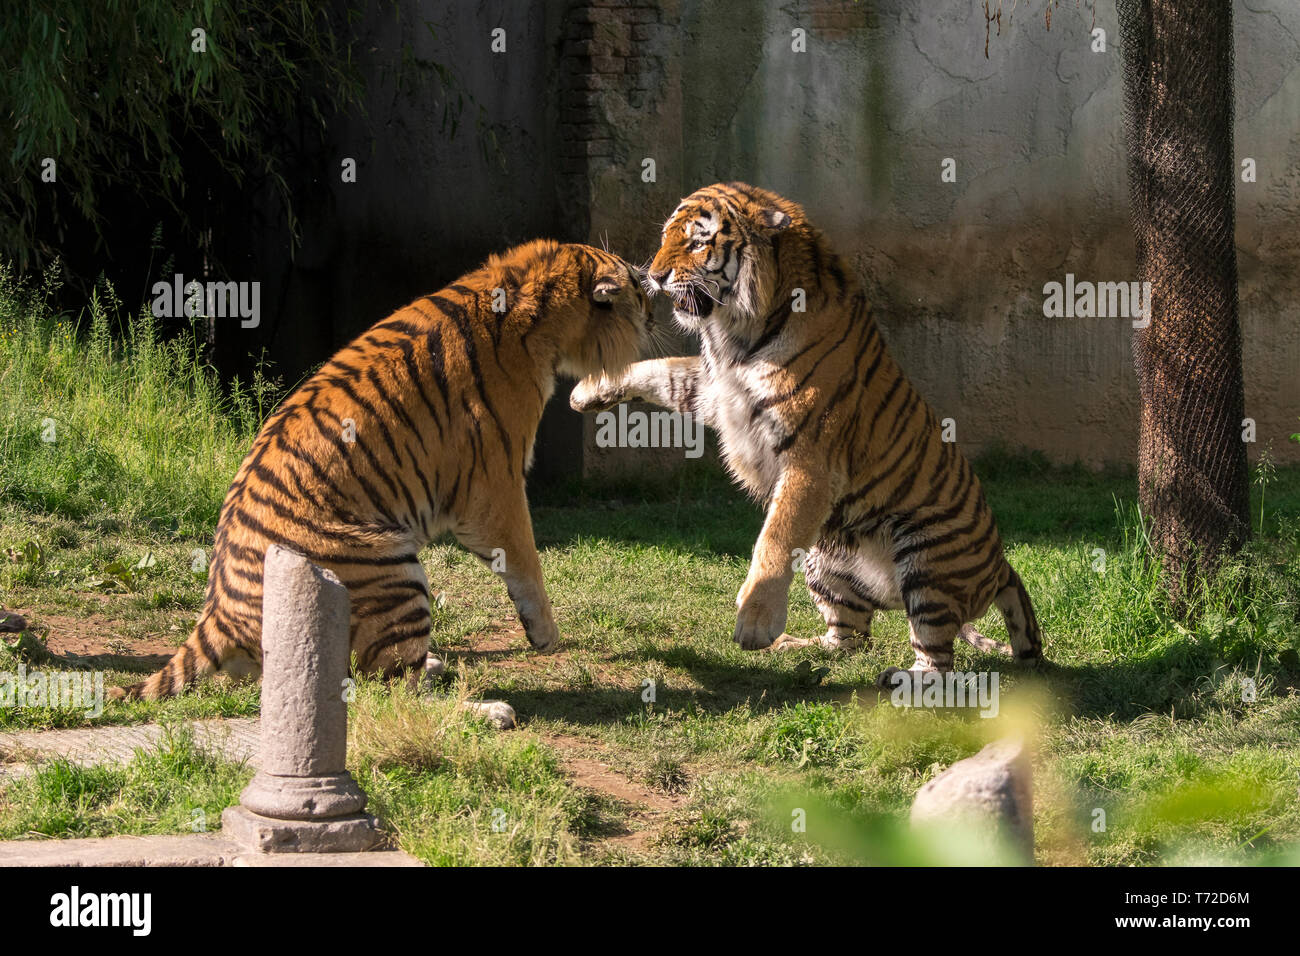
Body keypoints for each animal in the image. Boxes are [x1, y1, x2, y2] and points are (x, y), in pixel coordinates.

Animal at [112, 239, 651, 700]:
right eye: (638, 286)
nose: (653, 297)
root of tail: (217, 615)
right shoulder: (495, 486)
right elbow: (526, 558)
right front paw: (545, 633)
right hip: (393, 569)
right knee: (391, 692)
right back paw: (488, 709)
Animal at [570, 183, 1043, 683]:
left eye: (697, 242)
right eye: (666, 237)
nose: (655, 276)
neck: (739, 332)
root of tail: (1001, 566)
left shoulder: (810, 460)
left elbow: (775, 540)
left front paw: (754, 622)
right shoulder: (718, 389)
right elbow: (660, 371)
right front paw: (588, 392)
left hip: (927, 560)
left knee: (939, 659)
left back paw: (901, 678)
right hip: (826, 559)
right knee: (851, 637)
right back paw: (797, 646)